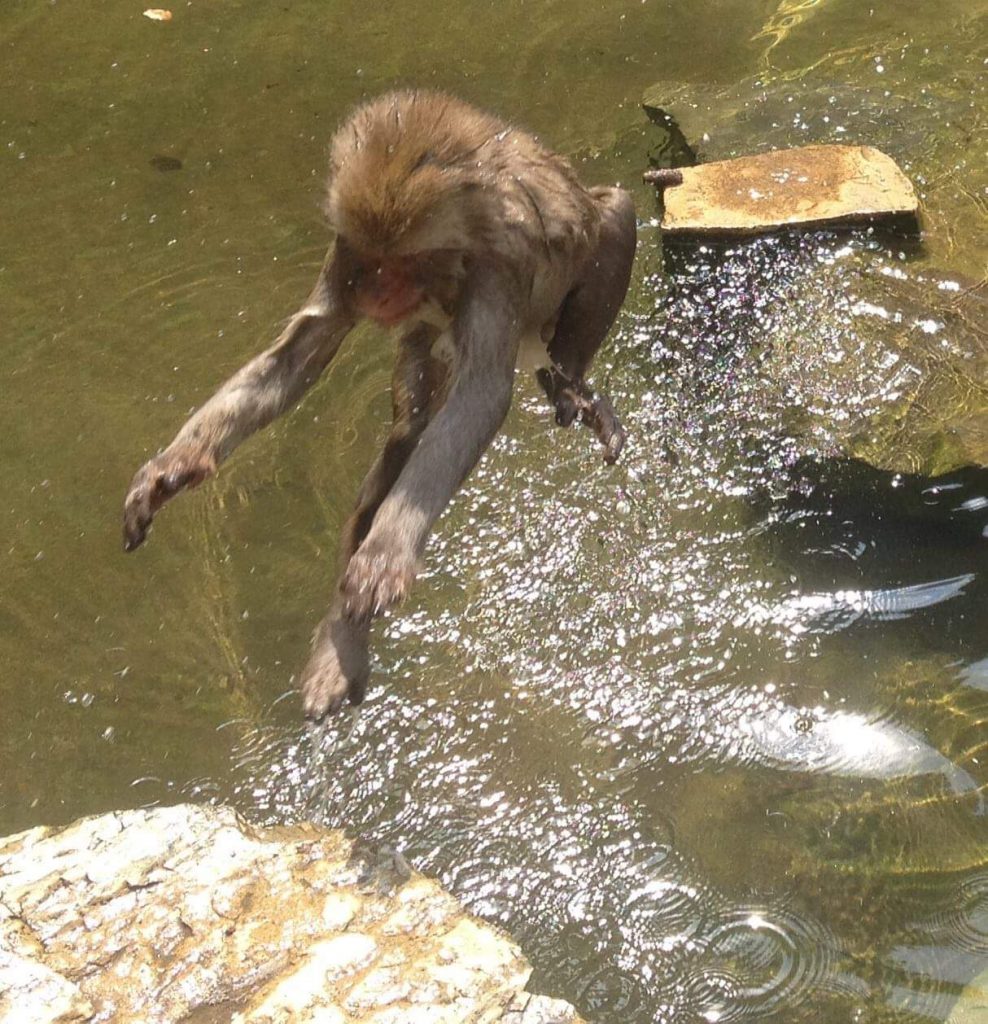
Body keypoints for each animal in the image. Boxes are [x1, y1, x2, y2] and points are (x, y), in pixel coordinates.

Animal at [123, 91, 636, 719]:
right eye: (372, 264)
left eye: (400, 266)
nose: (375, 294)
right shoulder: (344, 255)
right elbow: (301, 353)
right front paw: (172, 468)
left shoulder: (495, 272)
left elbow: (481, 395)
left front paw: (386, 555)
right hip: (422, 347)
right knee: (405, 437)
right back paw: (339, 647)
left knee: (613, 215)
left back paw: (569, 382)